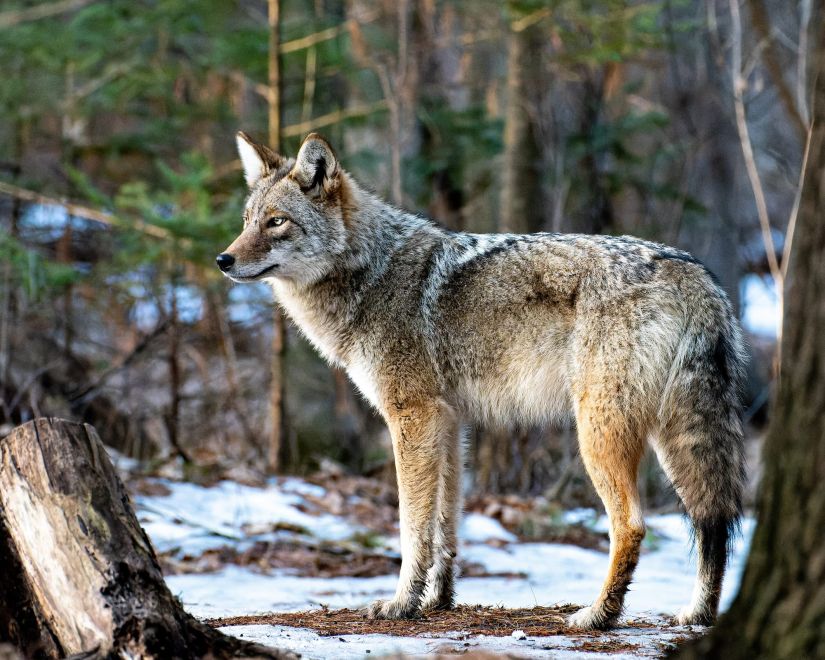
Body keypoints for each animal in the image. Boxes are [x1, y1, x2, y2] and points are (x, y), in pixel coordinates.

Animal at [217, 131, 746, 630]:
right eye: (246, 219)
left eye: (277, 222)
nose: (223, 259)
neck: (369, 272)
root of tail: (692, 271)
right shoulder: (449, 424)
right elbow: (445, 524)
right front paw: (437, 601)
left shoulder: (412, 418)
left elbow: (411, 526)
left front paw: (400, 604)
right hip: (673, 439)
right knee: (712, 522)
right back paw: (697, 614)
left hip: (599, 435)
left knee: (633, 526)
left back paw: (599, 616)